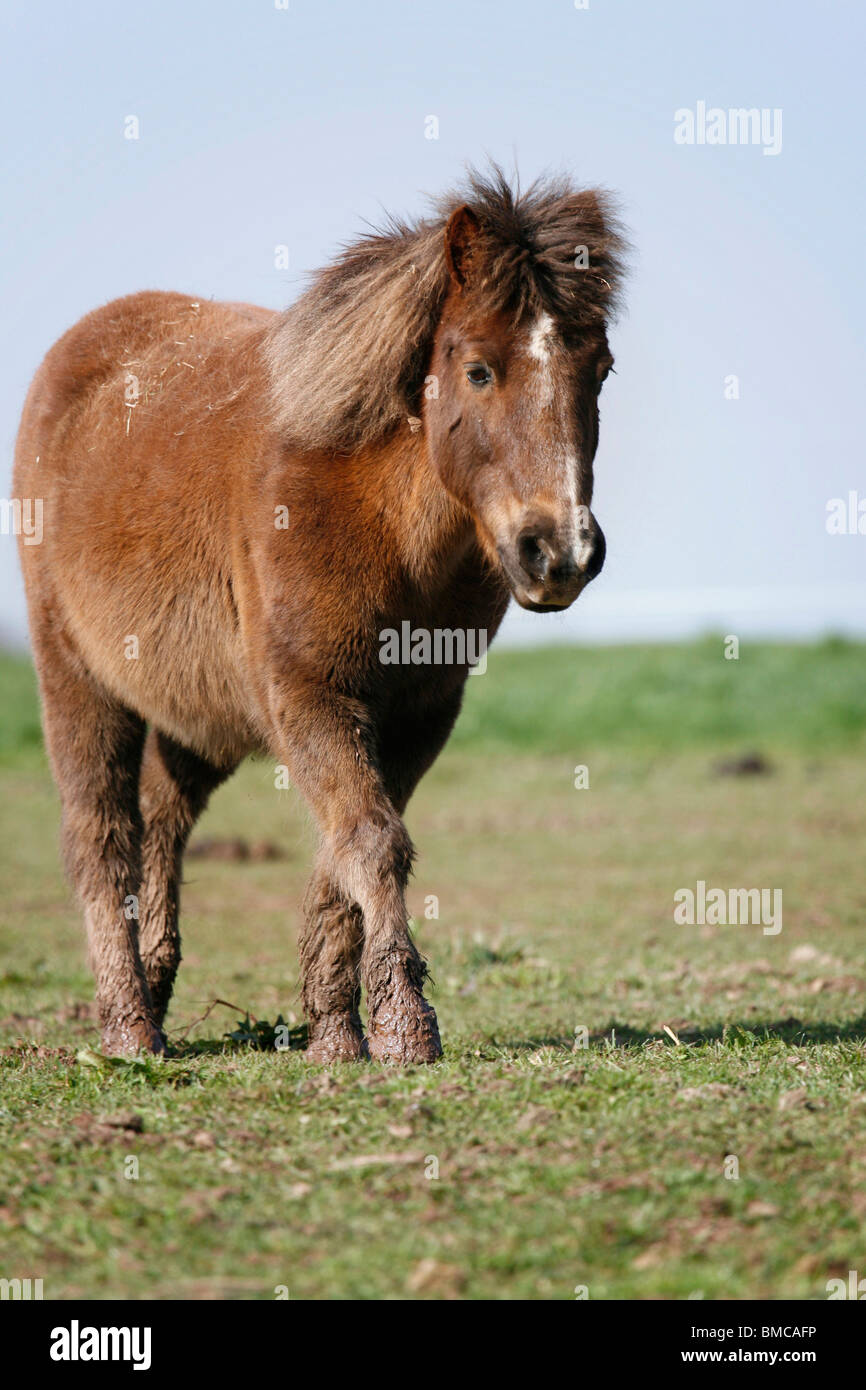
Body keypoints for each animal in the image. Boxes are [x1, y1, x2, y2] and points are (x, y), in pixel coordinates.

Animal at [14, 167, 626, 1064]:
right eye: (479, 371)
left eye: (602, 369)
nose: (560, 552)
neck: (378, 519)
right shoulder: (310, 698)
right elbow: (370, 841)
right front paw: (403, 1028)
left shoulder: (418, 712)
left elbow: (348, 851)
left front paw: (335, 1032)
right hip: (79, 683)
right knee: (102, 841)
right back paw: (129, 1027)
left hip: (197, 713)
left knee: (163, 819)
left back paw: (157, 989)